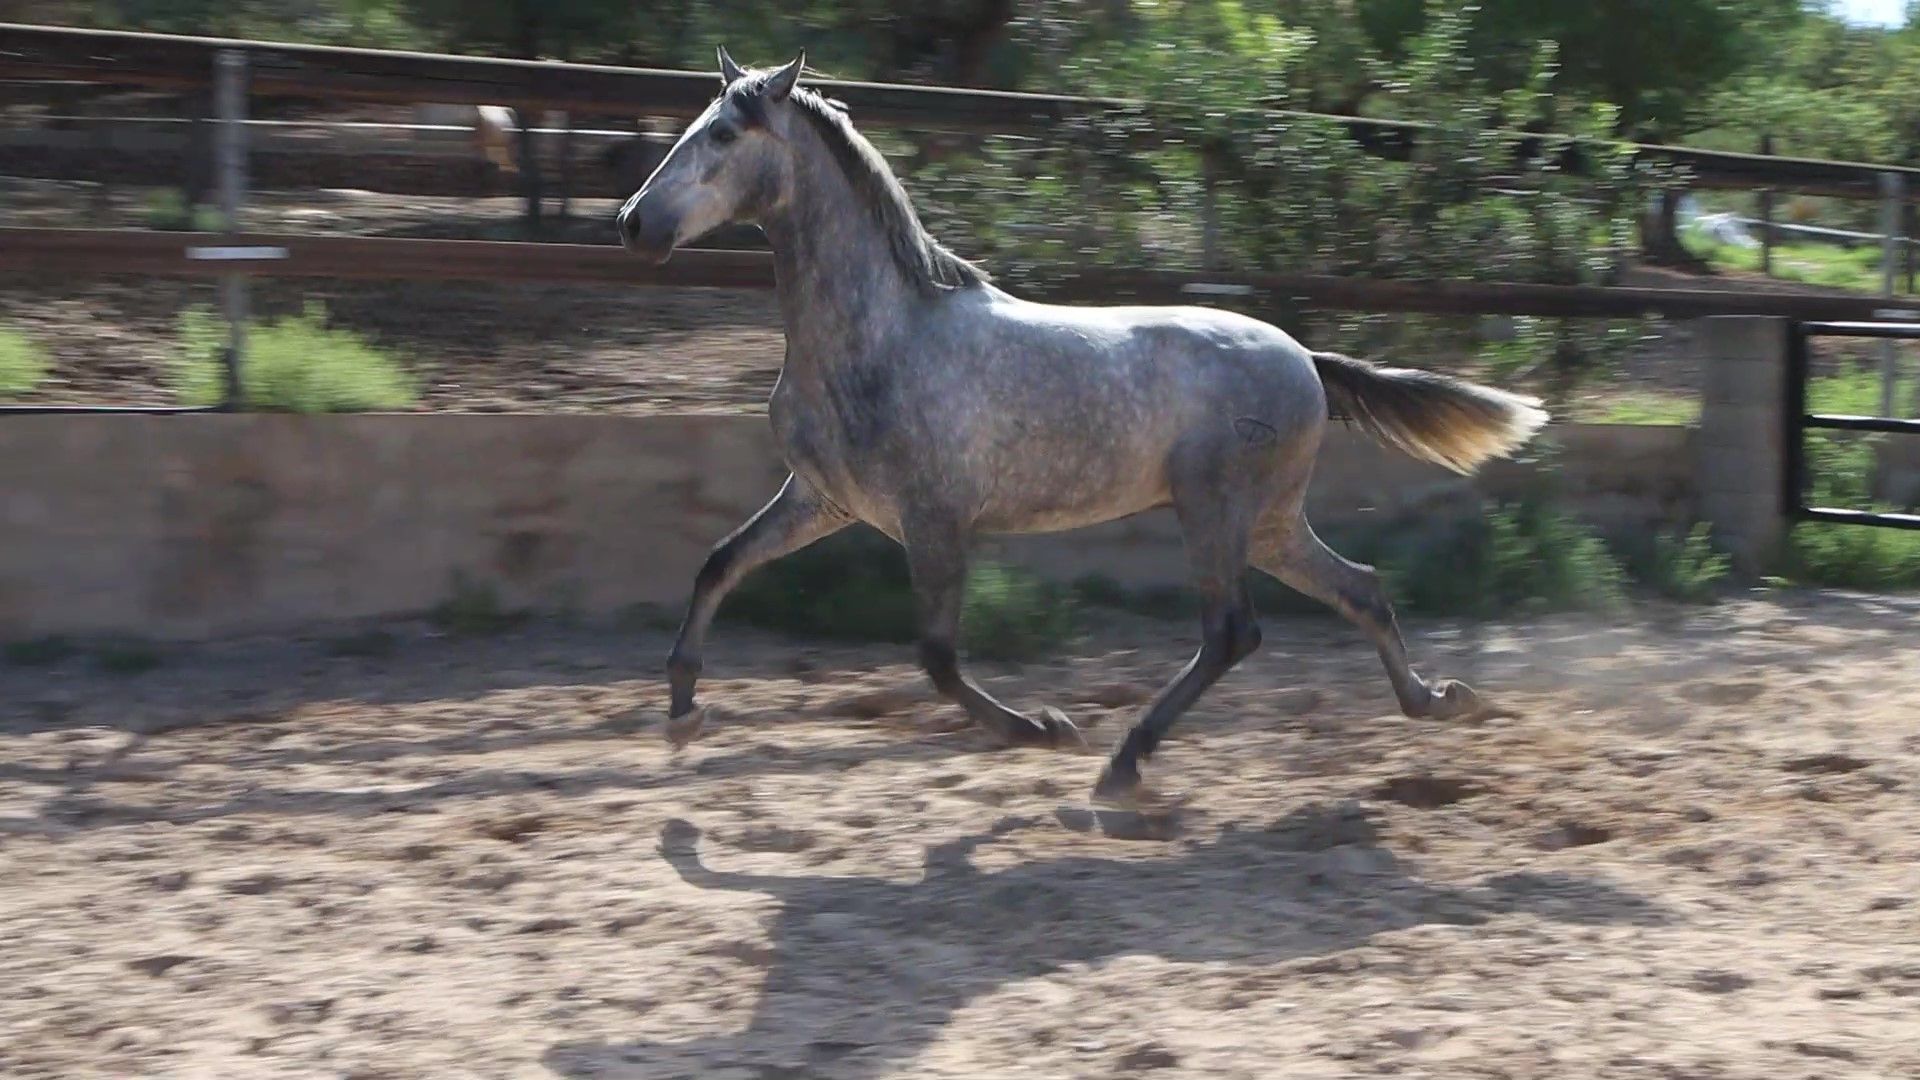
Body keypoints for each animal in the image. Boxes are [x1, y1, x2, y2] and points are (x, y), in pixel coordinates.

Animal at [615, 49, 1549, 806]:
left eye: (723, 134)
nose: (633, 224)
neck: (880, 333)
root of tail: (1304, 357)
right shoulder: (825, 499)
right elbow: (720, 563)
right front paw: (683, 709)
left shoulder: (934, 519)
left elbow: (939, 658)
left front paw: (1045, 729)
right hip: (1270, 521)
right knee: (1360, 587)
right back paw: (1436, 701)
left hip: (1214, 509)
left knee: (1233, 631)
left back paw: (1123, 763)